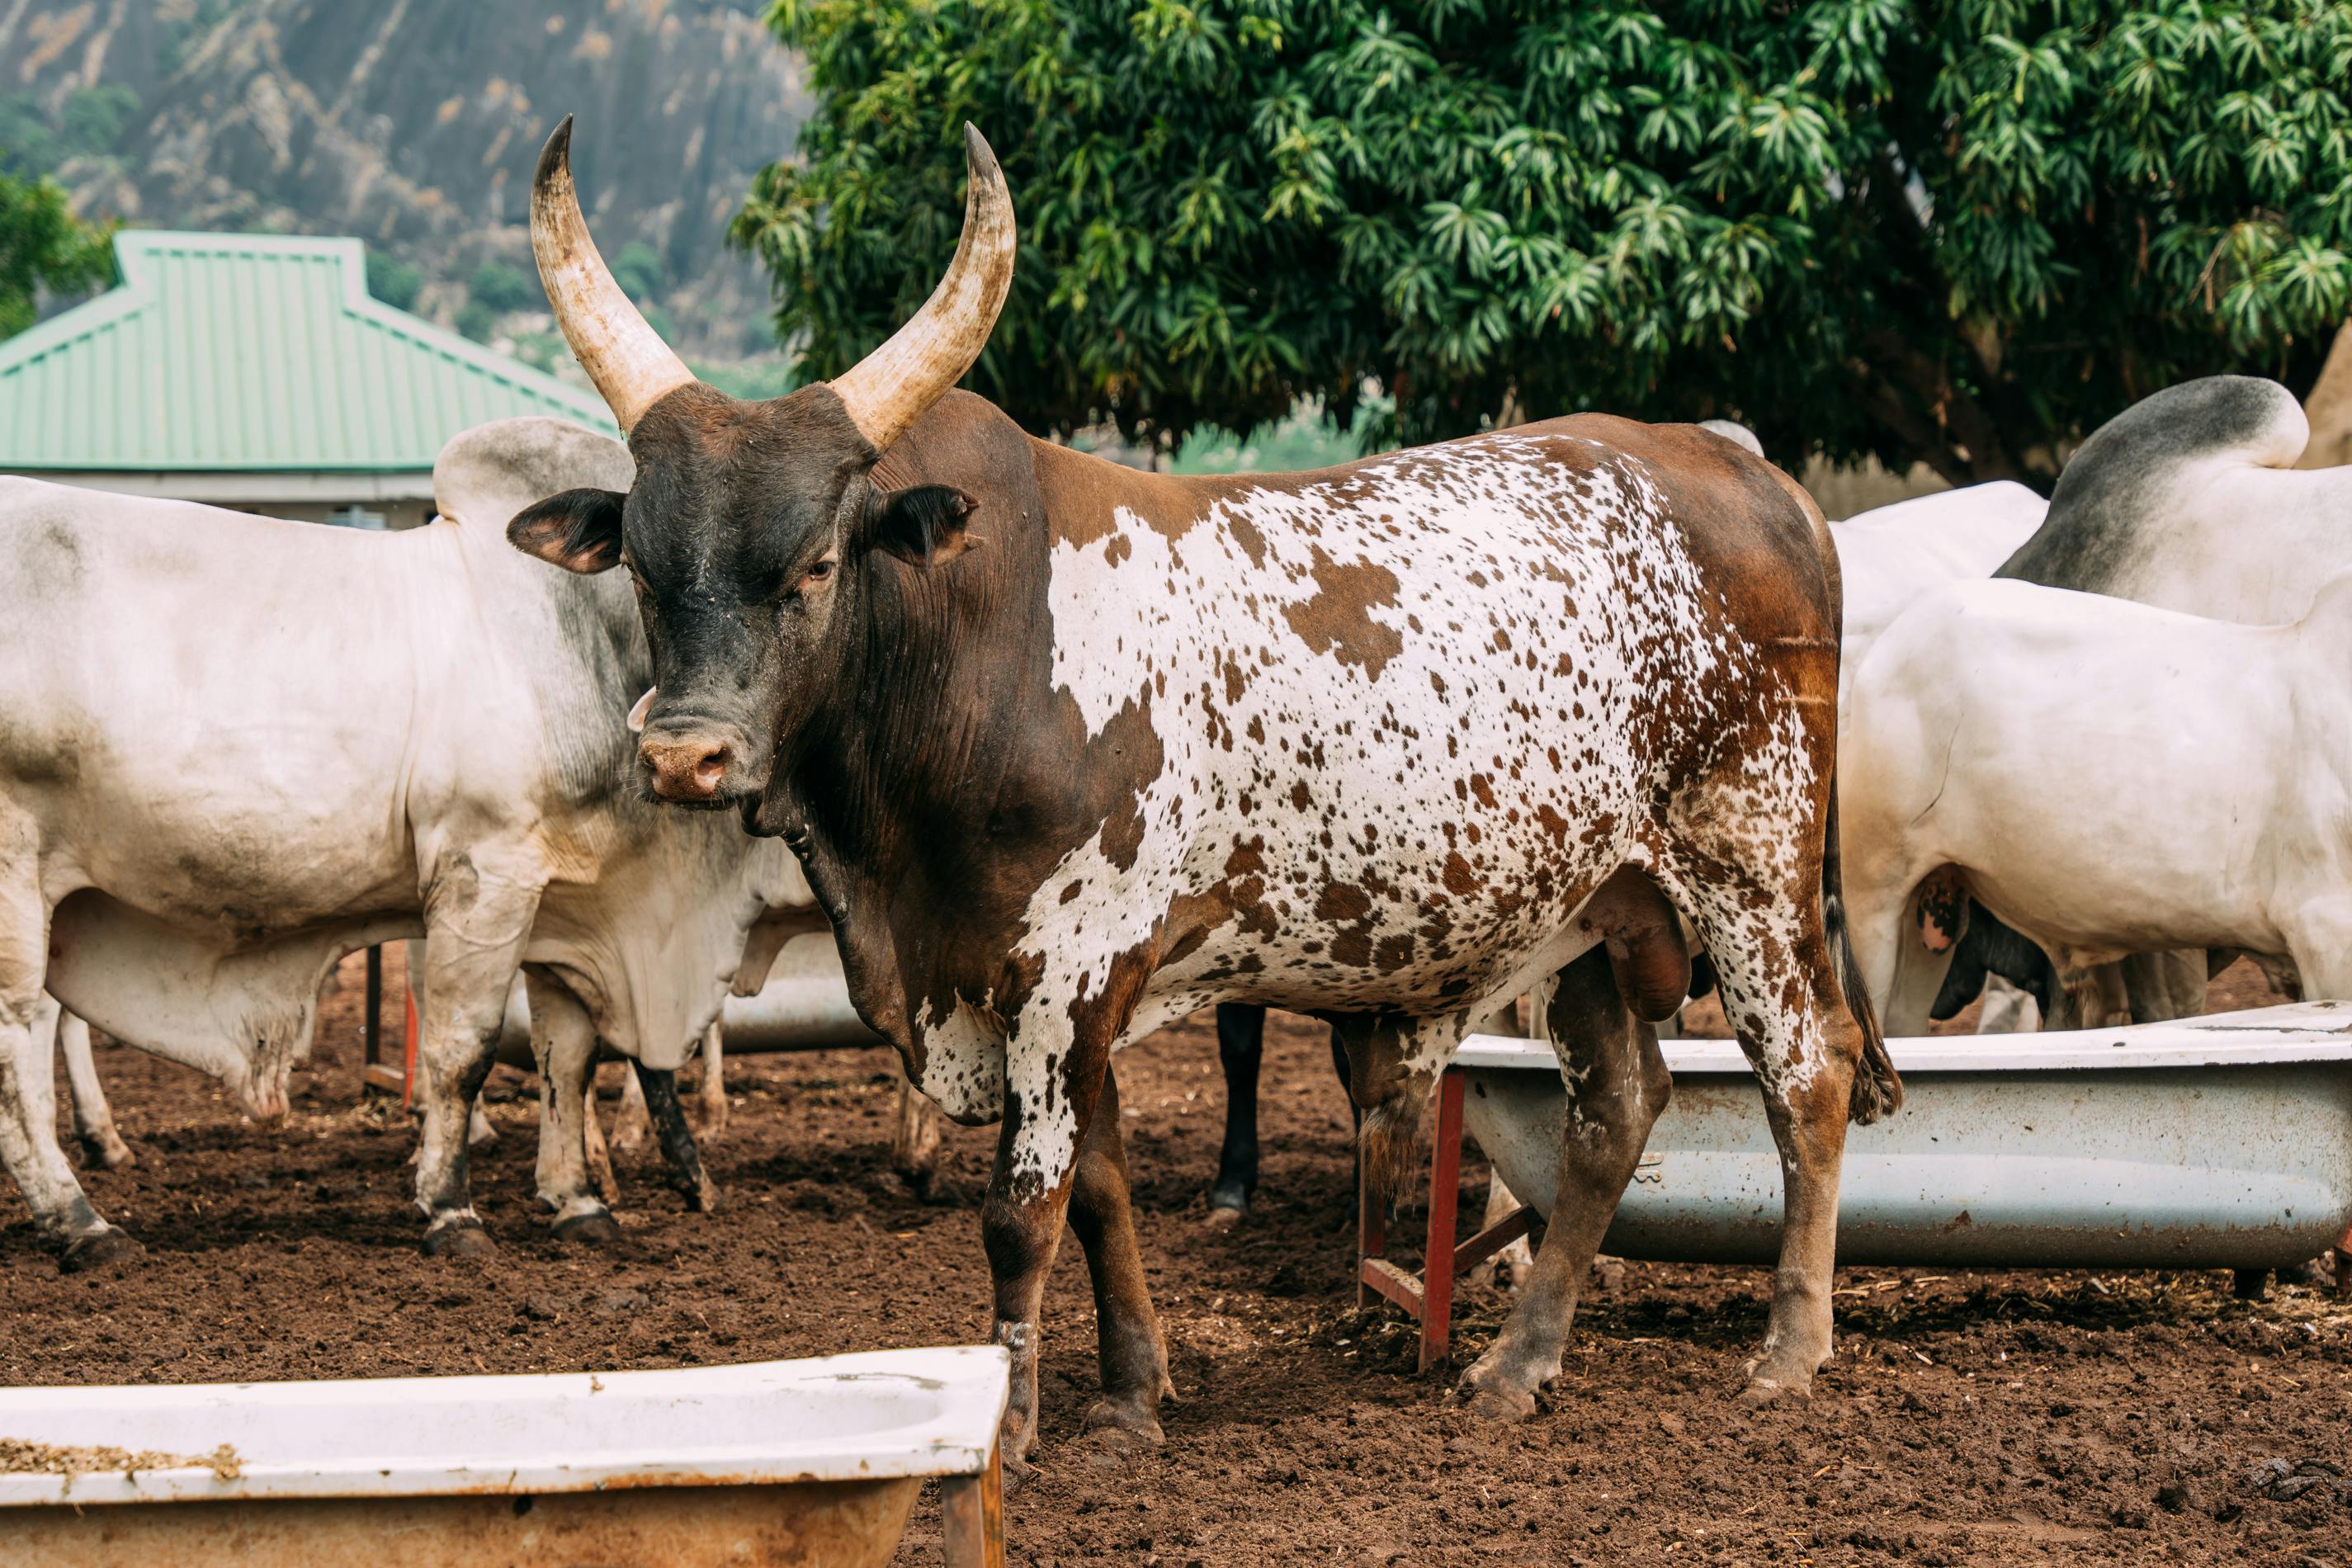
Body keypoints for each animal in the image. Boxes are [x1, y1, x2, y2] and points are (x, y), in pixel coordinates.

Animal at [0, 417, 804, 1268]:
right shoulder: (486, 874)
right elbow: (463, 1051)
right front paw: (451, 1209)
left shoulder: (571, 901)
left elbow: (569, 1054)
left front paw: (579, 1203)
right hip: (17, 878)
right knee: (18, 1041)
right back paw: (81, 1222)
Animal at [508, 119, 1892, 1465]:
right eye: (641, 568)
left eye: (815, 564)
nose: (684, 754)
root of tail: (1741, 470)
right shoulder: (1058, 991)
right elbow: (1102, 1190)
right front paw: (1133, 1395)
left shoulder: (1064, 976)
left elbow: (1023, 1211)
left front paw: (1011, 1425)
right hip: (1591, 905)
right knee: (1616, 1108)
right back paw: (1517, 1366)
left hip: (1749, 862)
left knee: (1806, 1072)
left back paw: (1787, 1354)